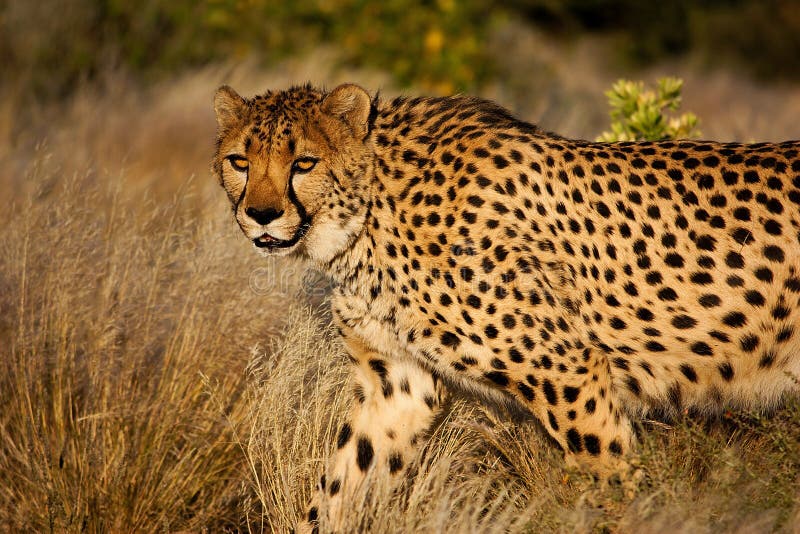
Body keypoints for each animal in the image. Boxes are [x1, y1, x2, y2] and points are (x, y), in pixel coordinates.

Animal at [212, 82, 800, 532]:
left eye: (304, 163)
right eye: (240, 161)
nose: (261, 214)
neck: (367, 215)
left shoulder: (571, 372)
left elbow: (609, 484)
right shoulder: (397, 384)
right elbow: (343, 484)